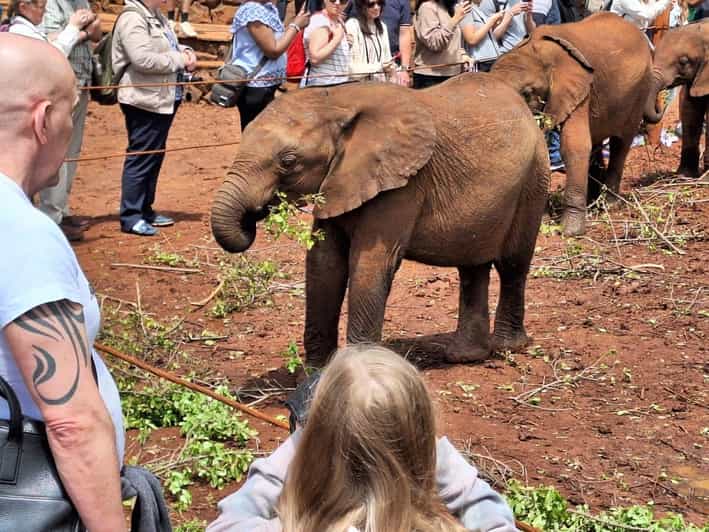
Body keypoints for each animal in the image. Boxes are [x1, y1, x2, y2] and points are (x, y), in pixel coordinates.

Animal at [210, 77, 550, 368]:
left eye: (289, 161)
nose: (254, 215)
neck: (338, 101)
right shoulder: (338, 182)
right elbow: (323, 265)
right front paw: (315, 374)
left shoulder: (403, 185)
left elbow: (369, 264)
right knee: (472, 266)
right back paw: (465, 356)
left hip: (534, 178)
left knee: (513, 264)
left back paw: (507, 347)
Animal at [491, 12, 657, 236]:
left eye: (527, 93)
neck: (537, 49)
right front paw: (541, 219)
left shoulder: (580, 88)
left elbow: (574, 146)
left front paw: (570, 231)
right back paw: (593, 202)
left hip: (640, 89)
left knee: (620, 143)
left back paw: (608, 205)